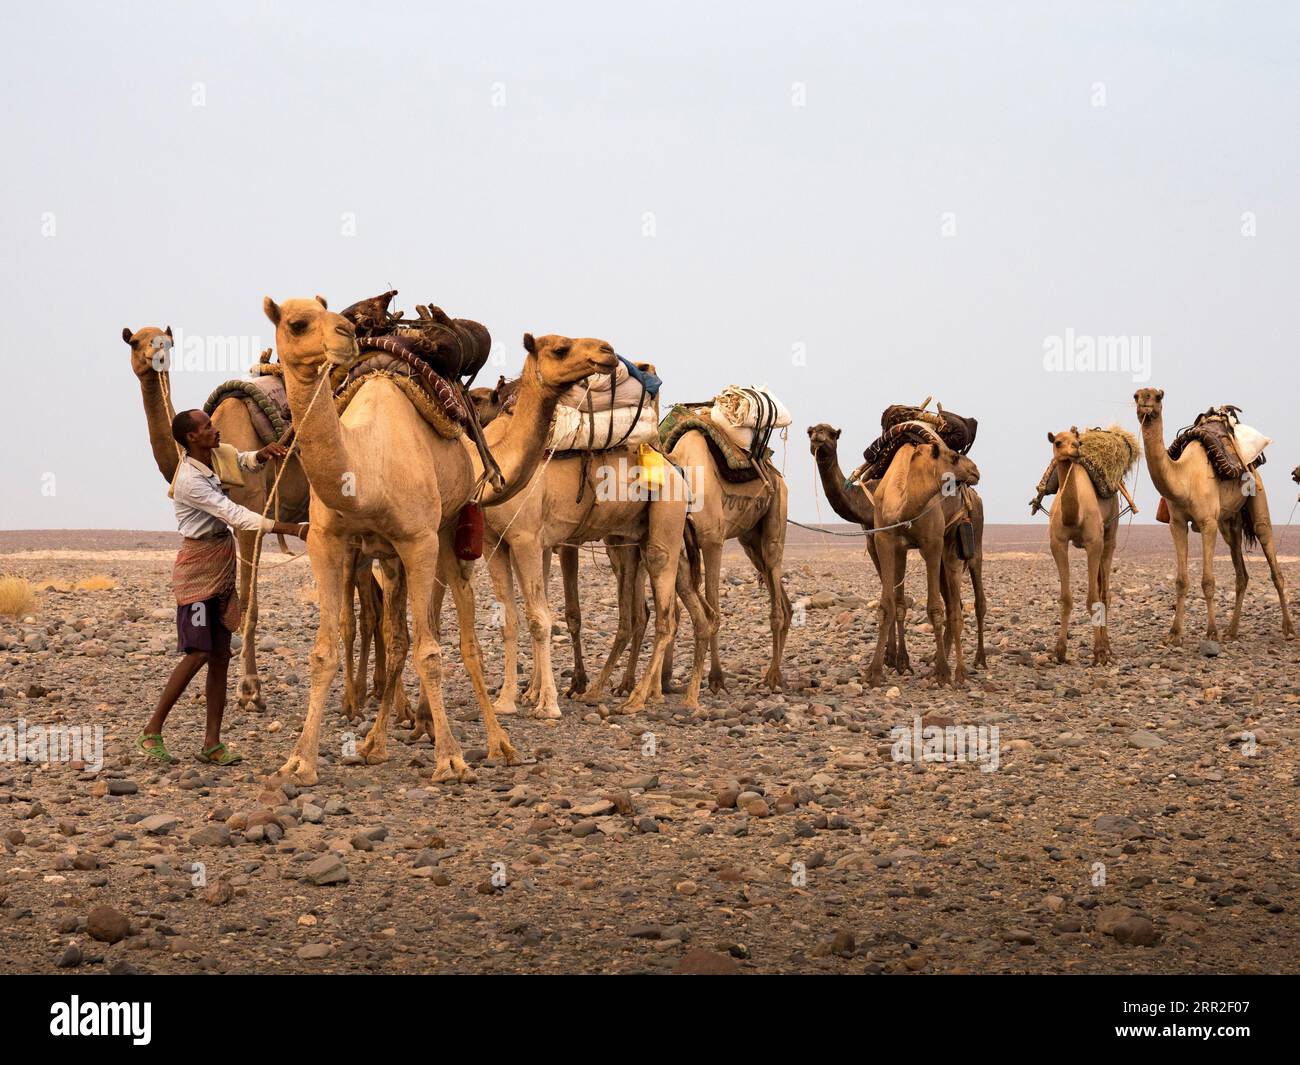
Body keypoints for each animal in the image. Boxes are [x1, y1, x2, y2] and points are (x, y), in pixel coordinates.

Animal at [264, 294, 620, 784]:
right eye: (297, 324)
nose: (606, 351)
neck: (365, 467)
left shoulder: (423, 541)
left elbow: (432, 651)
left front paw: (449, 757)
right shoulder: (326, 542)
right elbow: (326, 652)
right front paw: (299, 762)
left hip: (449, 535)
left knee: (464, 640)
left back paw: (497, 743)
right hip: (396, 555)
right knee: (398, 636)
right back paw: (379, 739)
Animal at [865, 440, 981, 687]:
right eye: (954, 457)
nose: (975, 470)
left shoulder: (933, 543)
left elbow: (935, 608)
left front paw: (943, 673)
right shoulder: (885, 541)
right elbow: (887, 606)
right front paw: (874, 671)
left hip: (956, 543)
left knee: (955, 609)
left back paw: (961, 672)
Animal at [1044, 428, 1119, 665]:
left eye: (1078, 440)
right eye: (1058, 442)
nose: (1076, 448)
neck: (1073, 516)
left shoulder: (1093, 544)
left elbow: (1093, 598)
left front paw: (1099, 652)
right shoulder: (1057, 544)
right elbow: (1066, 598)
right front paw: (1059, 651)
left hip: (1110, 533)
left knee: (1104, 592)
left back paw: (1108, 647)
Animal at [1134, 388, 1294, 643]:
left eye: (1158, 396)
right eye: (1136, 395)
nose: (1145, 403)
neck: (1184, 476)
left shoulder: (1207, 522)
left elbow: (1208, 581)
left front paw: (1211, 632)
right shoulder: (1177, 523)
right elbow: (1181, 581)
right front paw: (1174, 634)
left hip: (1257, 495)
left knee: (1271, 555)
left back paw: (1288, 629)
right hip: (1229, 522)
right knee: (1241, 572)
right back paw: (1232, 630)